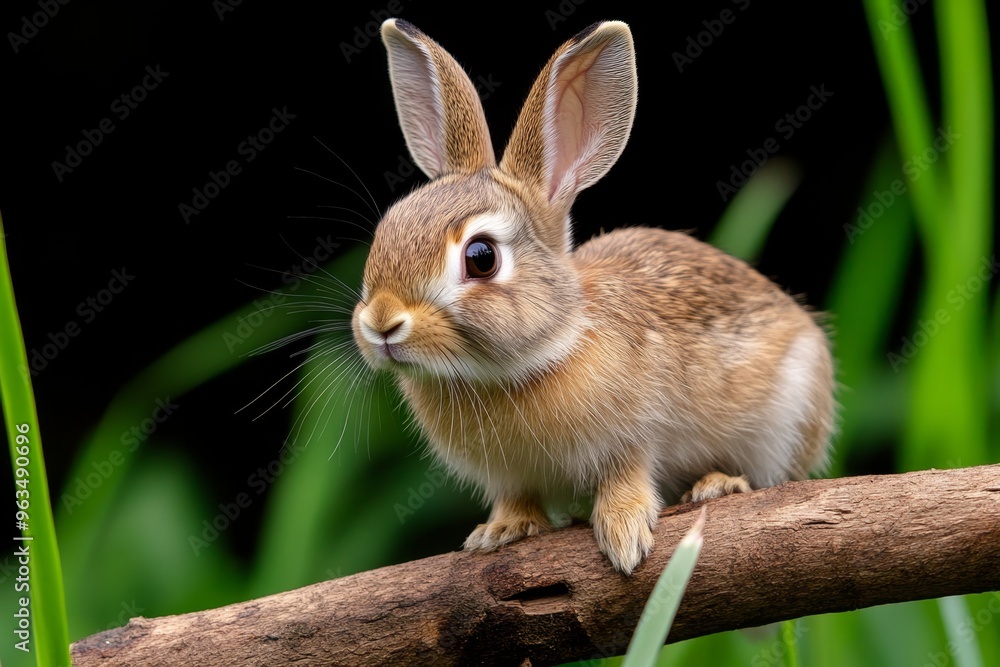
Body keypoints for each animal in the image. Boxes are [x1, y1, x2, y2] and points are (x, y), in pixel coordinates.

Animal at [351, 18, 835, 575]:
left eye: (481, 257)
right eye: (385, 231)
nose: (381, 322)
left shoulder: (637, 433)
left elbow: (629, 475)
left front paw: (624, 534)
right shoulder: (510, 475)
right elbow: (517, 498)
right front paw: (499, 531)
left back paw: (718, 485)